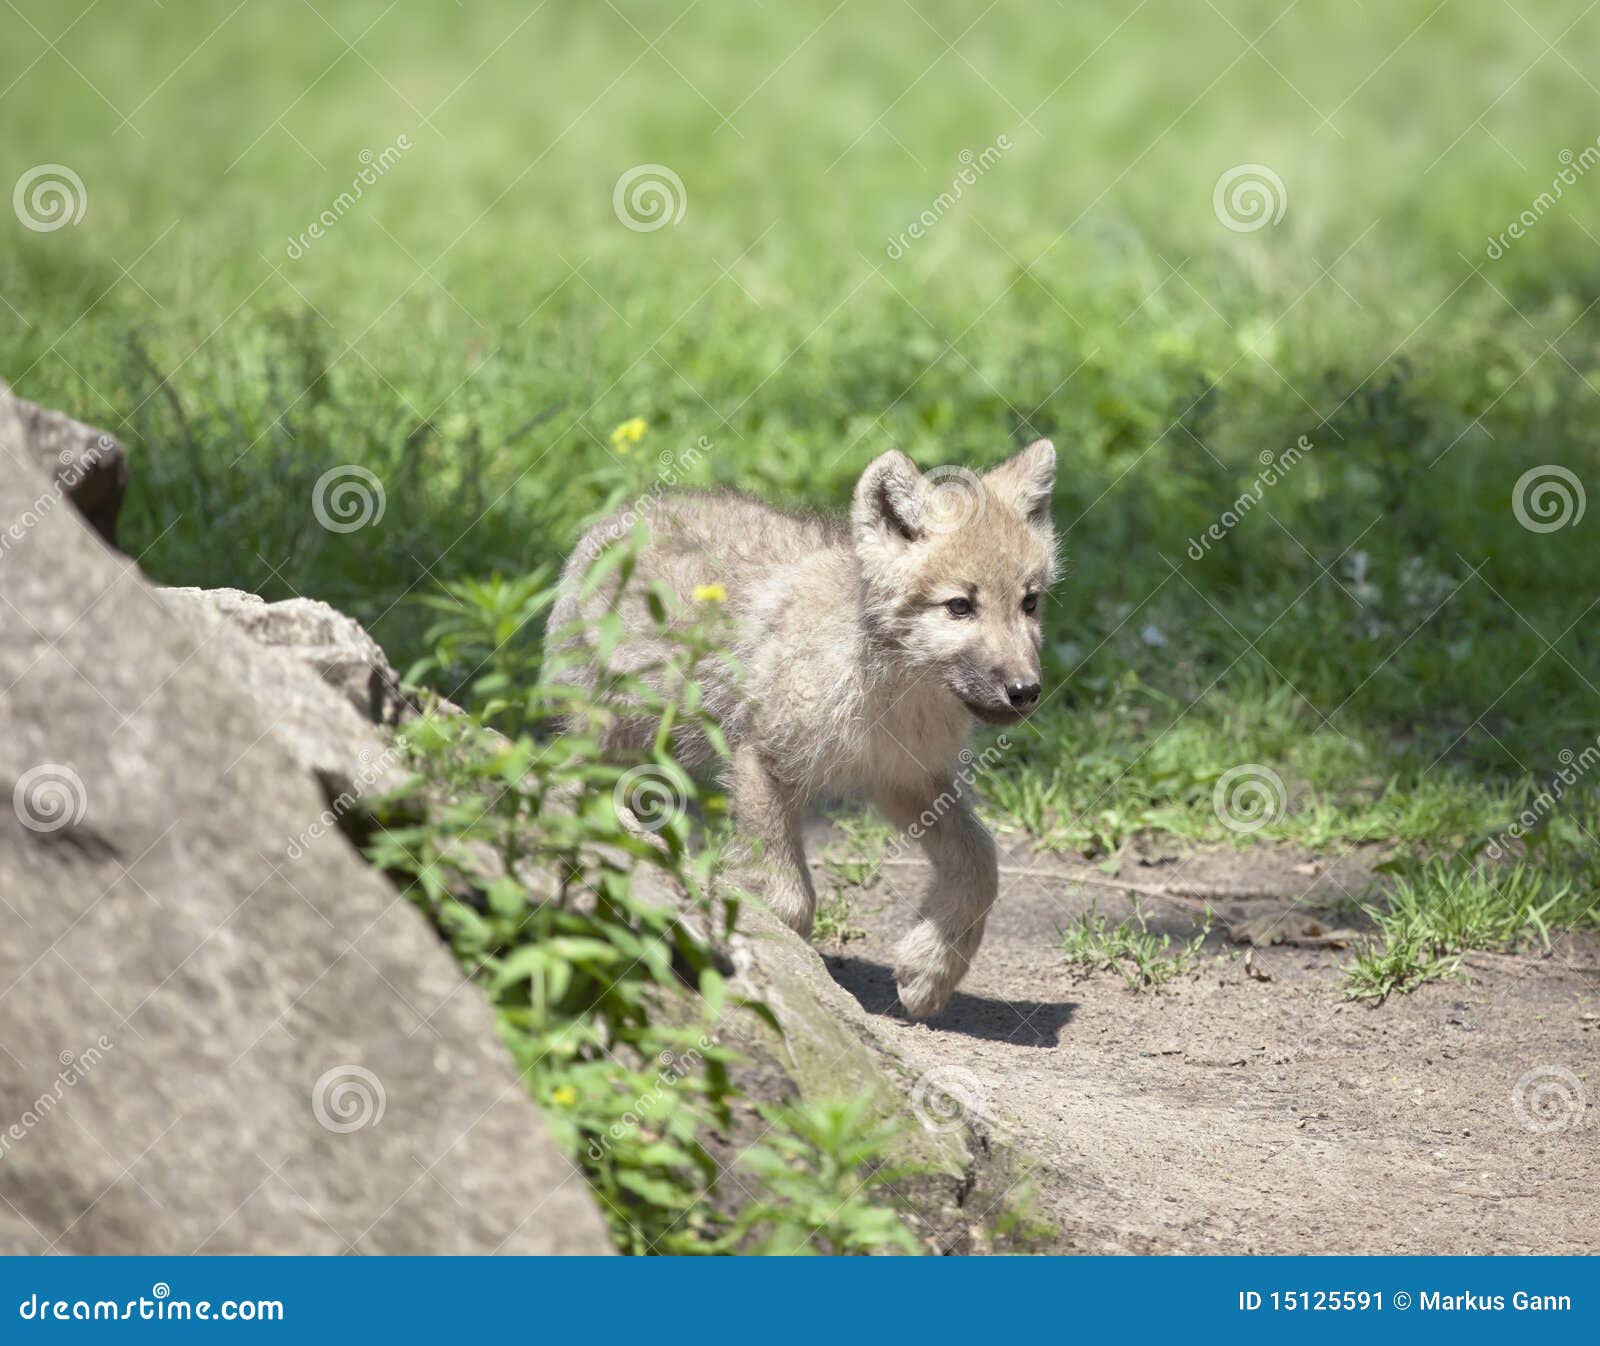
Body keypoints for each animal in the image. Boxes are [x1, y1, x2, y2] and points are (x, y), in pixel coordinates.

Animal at [548, 439, 1057, 1017]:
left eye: (1030, 602)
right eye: (959, 606)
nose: (1025, 691)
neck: (892, 691)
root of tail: (614, 520)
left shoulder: (906, 779)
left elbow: (981, 864)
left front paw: (930, 971)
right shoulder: (760, 761)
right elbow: (789, 900)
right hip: (614, 730)